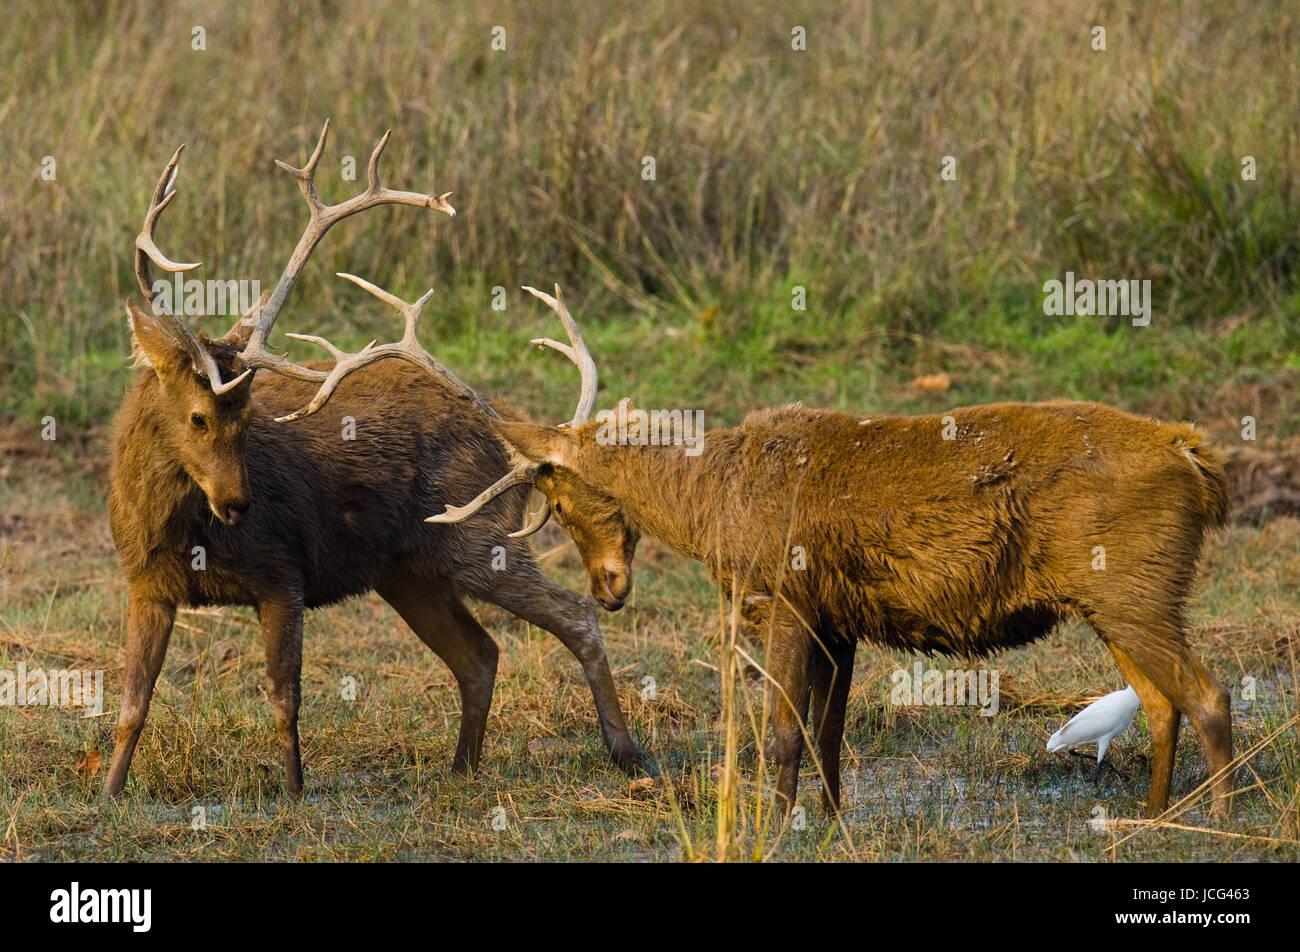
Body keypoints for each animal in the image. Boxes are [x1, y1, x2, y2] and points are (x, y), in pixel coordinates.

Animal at [104, 123, 652, 798]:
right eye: (198, 416)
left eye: (249, 414)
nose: (238, 502)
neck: (180, 529)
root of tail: (504, 427)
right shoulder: (145, 584)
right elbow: (131, 705)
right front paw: (108, 794)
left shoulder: (282, 569)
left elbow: (284, 697)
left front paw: (295, 792)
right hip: (408, 570)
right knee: (481, 653)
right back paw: (462, 768)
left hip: (478, 537)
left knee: (576, 614)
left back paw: (625, 751)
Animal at [416, 286, 1236, 823]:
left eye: (553, 503)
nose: (608, 588)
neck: (710, 500)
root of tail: (1198, 459)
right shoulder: (839, 621)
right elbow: (827, 735)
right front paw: (832, 824)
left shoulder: (786, 596)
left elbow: (782, 735)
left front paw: (777, 828)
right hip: (1119, 597)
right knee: (1161, 704)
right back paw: (1155, 815)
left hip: (1136, 586)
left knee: (1208, 696)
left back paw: (1217, 821)